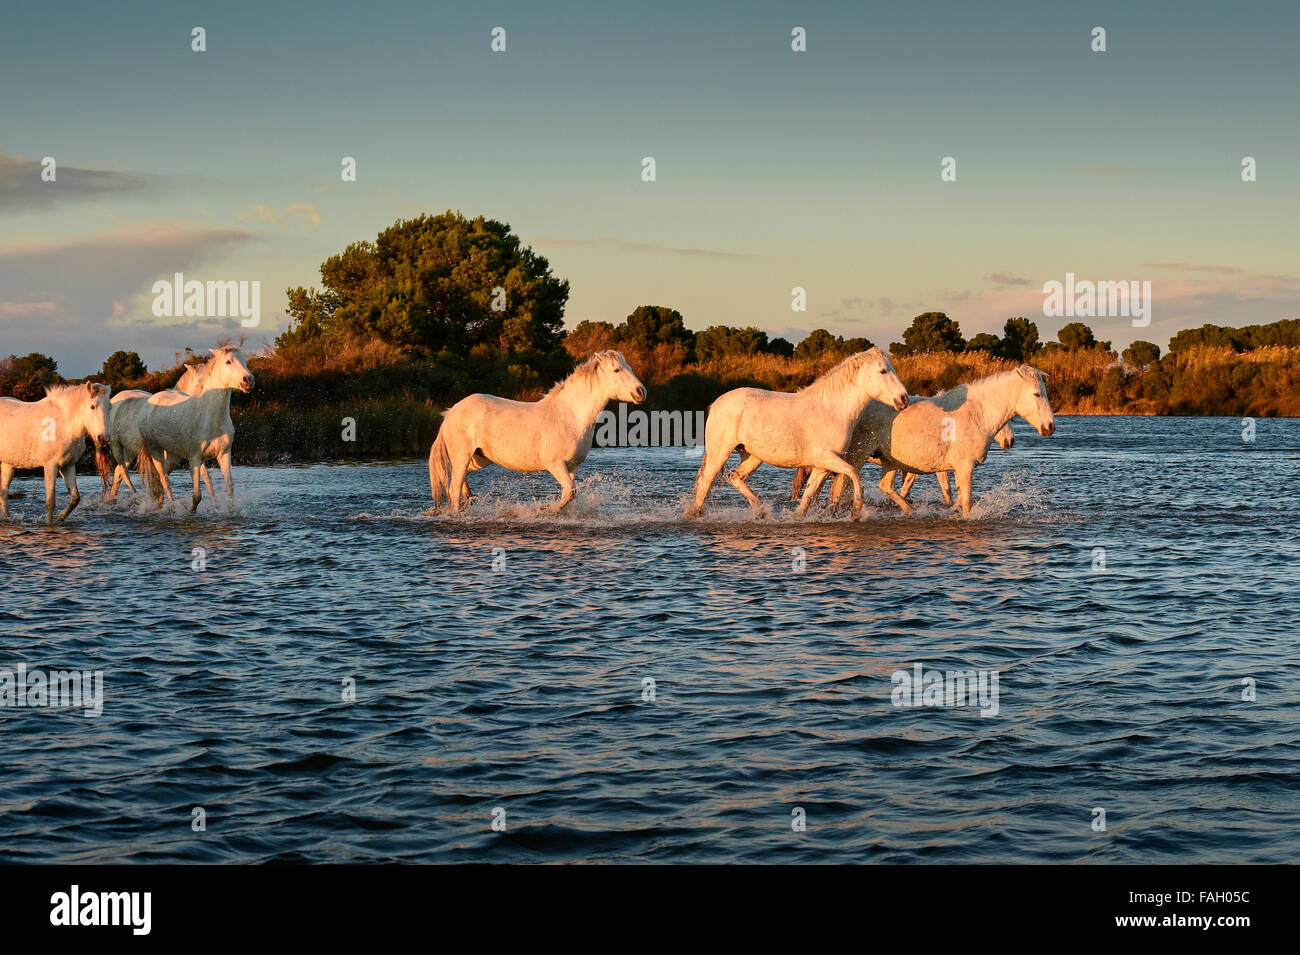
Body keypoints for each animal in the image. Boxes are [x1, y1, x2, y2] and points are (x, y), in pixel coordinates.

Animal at [0, 382, 112, 523]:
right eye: (92, 406)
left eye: (110, 407)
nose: (103, 438)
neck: (65, 424)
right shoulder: (50, 466)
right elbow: (50, 503)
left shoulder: (68, 466)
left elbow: (75, 498)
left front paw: (60, 517)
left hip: (7, 464)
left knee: (3, 494)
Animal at [136, 347, 254, 511]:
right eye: (228, 361)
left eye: (245, 361)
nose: (248, 380)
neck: (208, 419)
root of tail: (150, 402)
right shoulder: (195, 459)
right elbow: (197, 495)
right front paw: (191, 512)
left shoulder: (224, 454)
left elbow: (229, 488)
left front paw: (228, 511)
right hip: (155, 450)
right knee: (164, 479)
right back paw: (171, 507)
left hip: (173, 455)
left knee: (161, 478)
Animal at [428, 349, 646, 514]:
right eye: (616, 369)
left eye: (630, 368)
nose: (641, 392)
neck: (570, 416)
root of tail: (451, 412)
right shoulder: (555, 464)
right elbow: (570, 492)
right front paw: (546, 510)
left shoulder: (572, 466)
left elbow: (569, 493)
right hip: (462, 456)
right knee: (454, 489)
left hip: (479, 458)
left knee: (459, 484)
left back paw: (469, 501)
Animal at [683, 347, 909, 519]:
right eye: (883, 371)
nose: (904, 399)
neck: (832, 410)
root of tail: (716, 403)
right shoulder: (827, 458)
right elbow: (854, 473)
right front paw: (857, 509)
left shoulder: (821, 467)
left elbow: (808, 495)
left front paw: (797, 517)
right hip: (720, 452)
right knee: (706, 482)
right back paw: (694, 514)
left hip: (753, 456)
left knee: (735, 478)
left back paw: (761, 511)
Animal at [796, 365, 1054, 517]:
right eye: (1036, 394)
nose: (1050, 426)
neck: (977, 414)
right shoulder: (964, 466)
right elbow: (965, 500)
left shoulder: (951, 468)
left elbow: (955, 495)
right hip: (857, 456)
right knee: (841, 486)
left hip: (888, 461)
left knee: (883, 486)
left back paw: (909, 511)